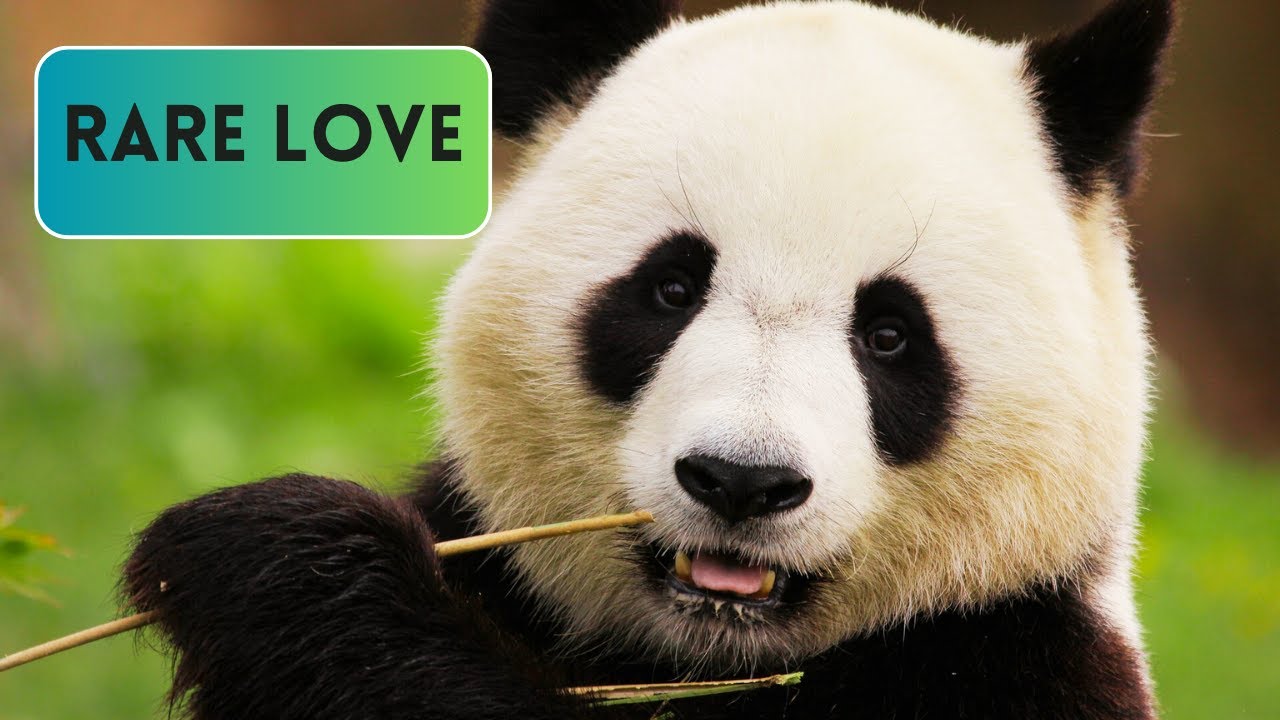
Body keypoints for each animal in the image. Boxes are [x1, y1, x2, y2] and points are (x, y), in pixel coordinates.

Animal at [123, 0, 1174, 718]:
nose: (741, 481)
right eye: (671, 288)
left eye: (889, 335)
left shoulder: (1011, 661)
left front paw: (278, 552)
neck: (705, 659)